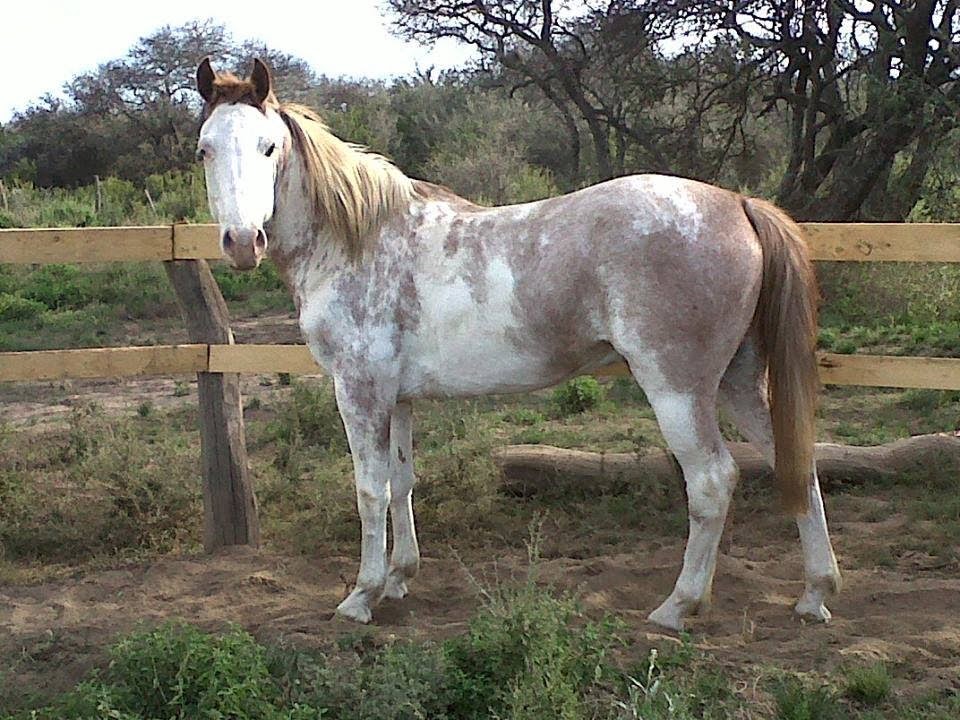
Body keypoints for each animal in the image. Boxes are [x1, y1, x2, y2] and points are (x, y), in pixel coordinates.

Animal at [194, 58, 841, 631]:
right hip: (738, 381)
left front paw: (362, 596)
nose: (242, 242)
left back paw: (677, 607)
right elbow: (402, 483)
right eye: (205, 148)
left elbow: (369, 491)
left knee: (711, 481)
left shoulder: (359, 393)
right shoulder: (397, 399)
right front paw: (401, 577)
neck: (359, 239)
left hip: (678, 388)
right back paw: (814, 594)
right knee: (796, 462)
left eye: (268, 147)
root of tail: (737, 203)